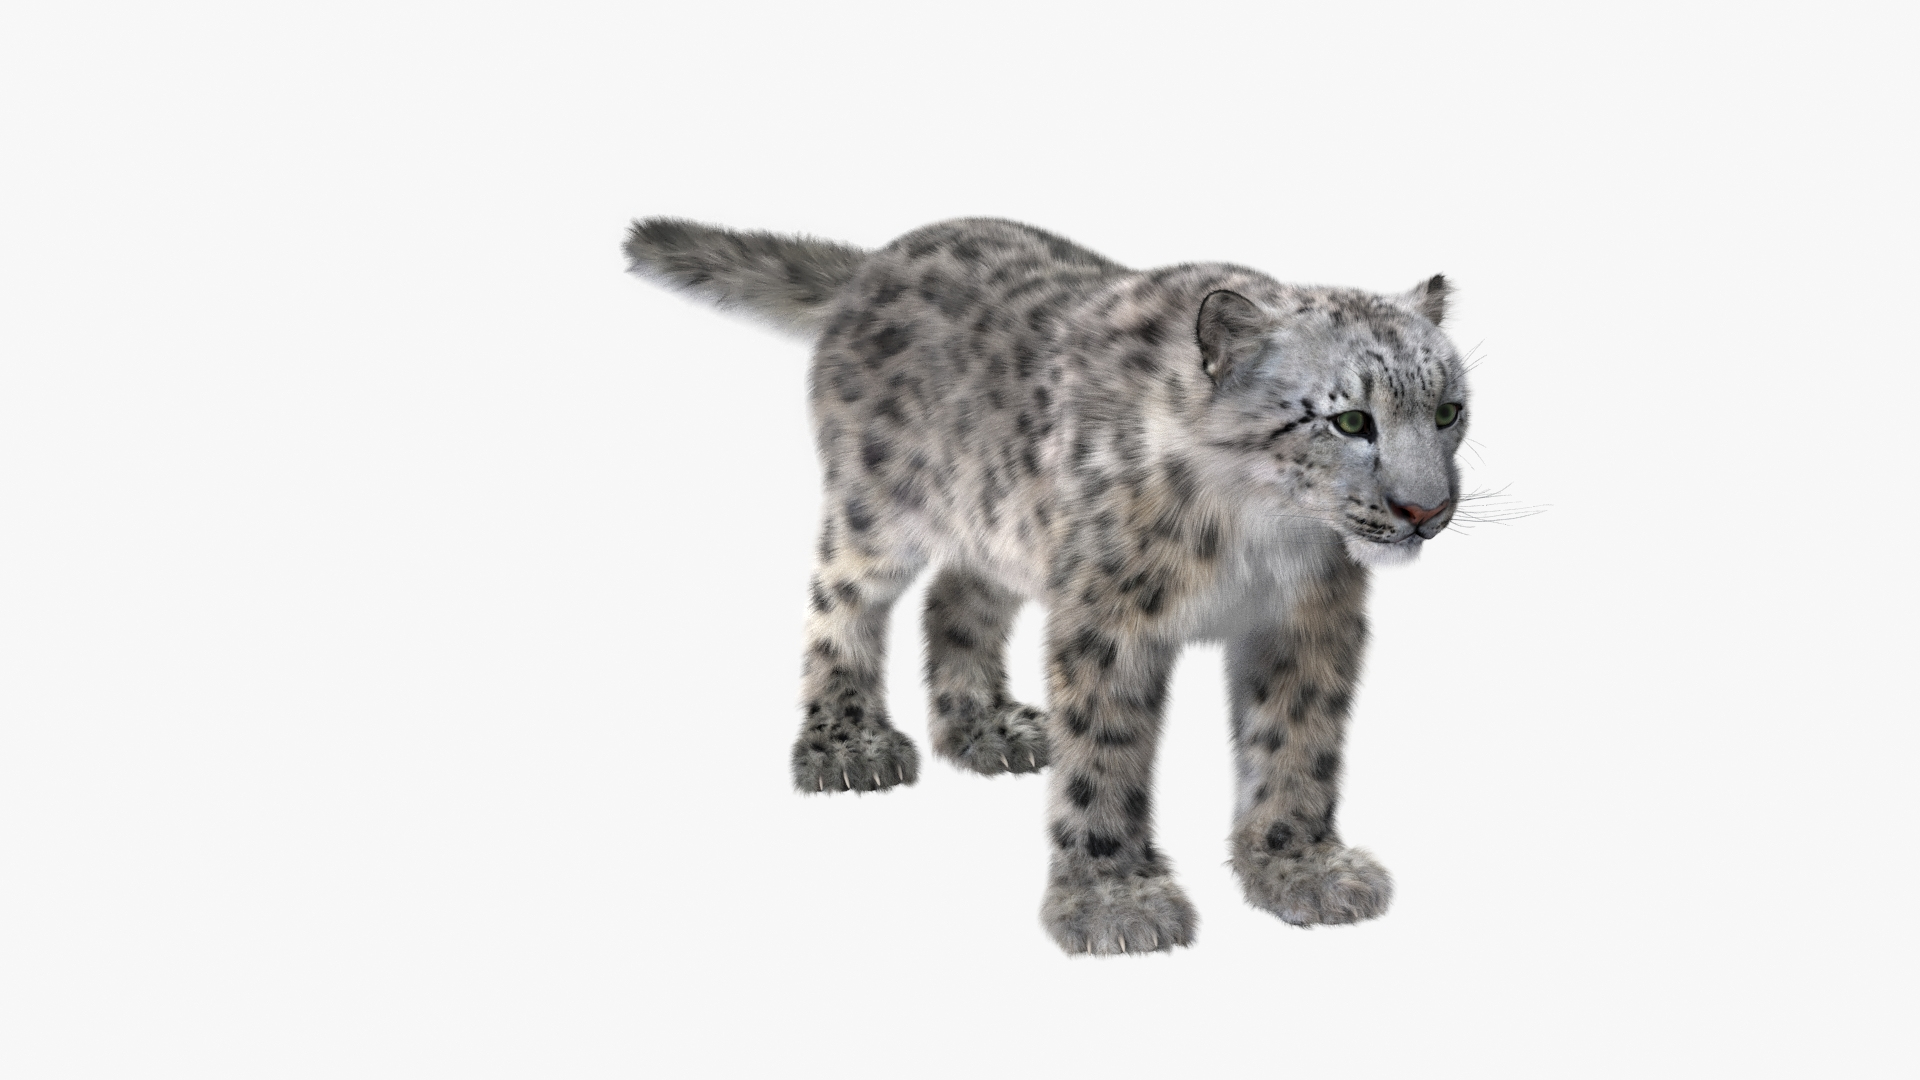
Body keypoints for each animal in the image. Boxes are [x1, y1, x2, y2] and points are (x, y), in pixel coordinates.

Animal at [623, 216, 1470, 956]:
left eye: (1449, 411)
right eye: (1350, 421)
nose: (1426, 510)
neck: (1264, 540)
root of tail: (877, 263)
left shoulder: (1307, 622)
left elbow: (1298, 744)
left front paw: (1302, 868)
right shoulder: (1110, 618)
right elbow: (1104, 754)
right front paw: (1115, 901)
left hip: (997, 523)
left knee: (955, 598)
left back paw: (990, 728)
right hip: (877, 513)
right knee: (839, 602)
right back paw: (847, 744)